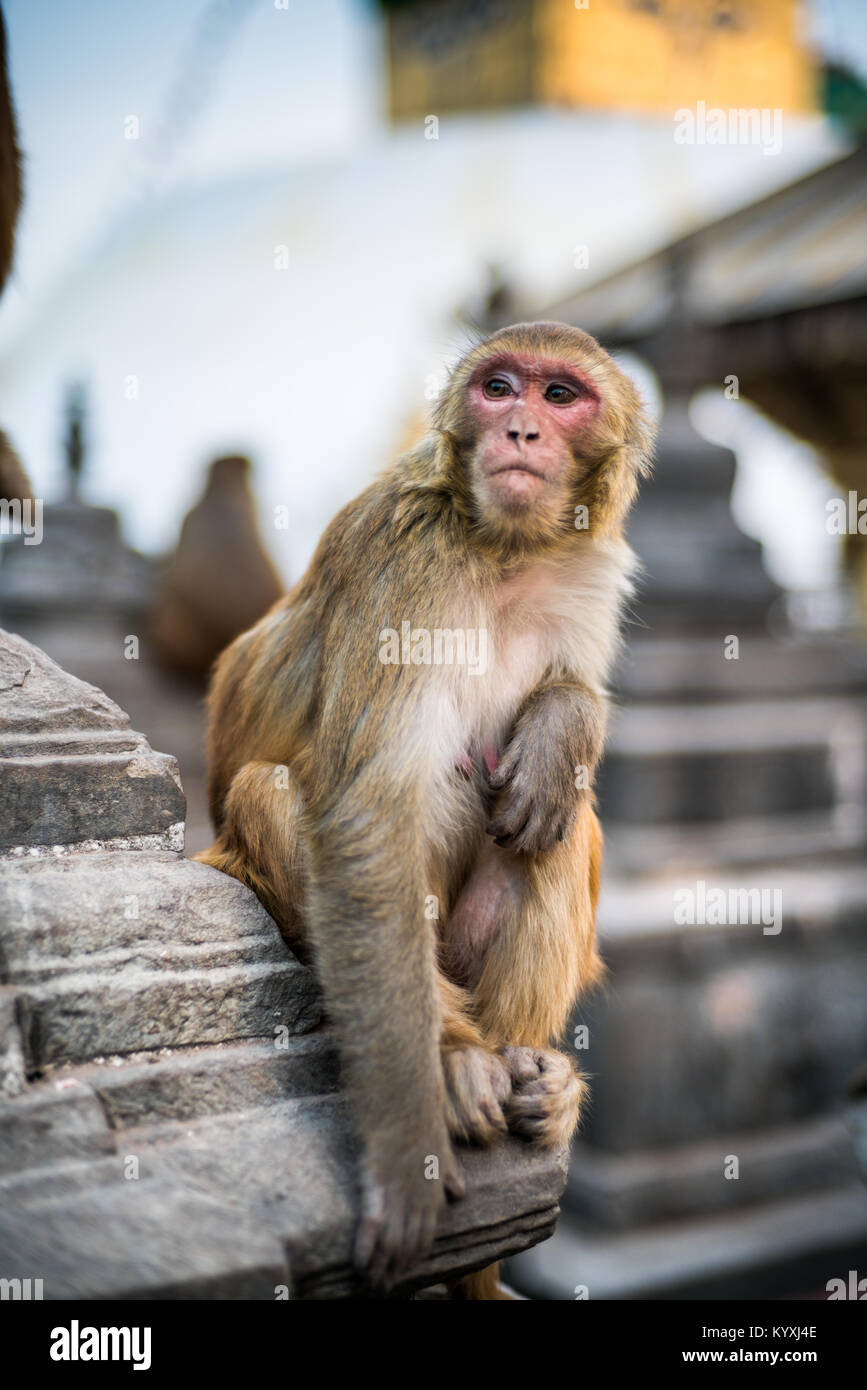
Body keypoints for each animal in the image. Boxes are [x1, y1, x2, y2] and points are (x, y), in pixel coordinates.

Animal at [197, 321, 654, 1297]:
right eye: (498, 388)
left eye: (560, 396)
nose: (519, 429)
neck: (505, 551)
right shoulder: (400, 553)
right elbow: (363, 811)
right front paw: (409, 1157)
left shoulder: (590, 567)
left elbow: (566, 714)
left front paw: (561, 725)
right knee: (276, 795)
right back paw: (455, 1057)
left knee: (560, 824)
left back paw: (530, 1074)